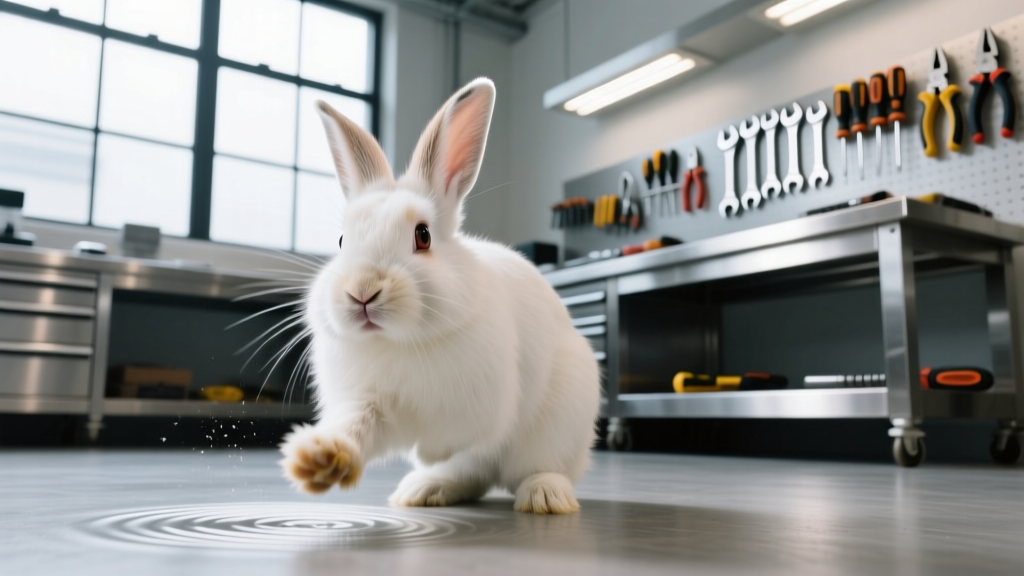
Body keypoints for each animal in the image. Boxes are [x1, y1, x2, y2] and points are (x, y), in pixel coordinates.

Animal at [278, 77, 601, 514]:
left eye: (423, 235)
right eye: (343, 241)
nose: (362, 292)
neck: (399, 342)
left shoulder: (474, 410)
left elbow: (448, 437)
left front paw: (427, 452)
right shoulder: (366, 401)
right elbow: (360, 425)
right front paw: (320, 459)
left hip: (561, 421)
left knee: (536, 468)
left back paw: (545, 497)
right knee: (472, 476)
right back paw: (425, 489)